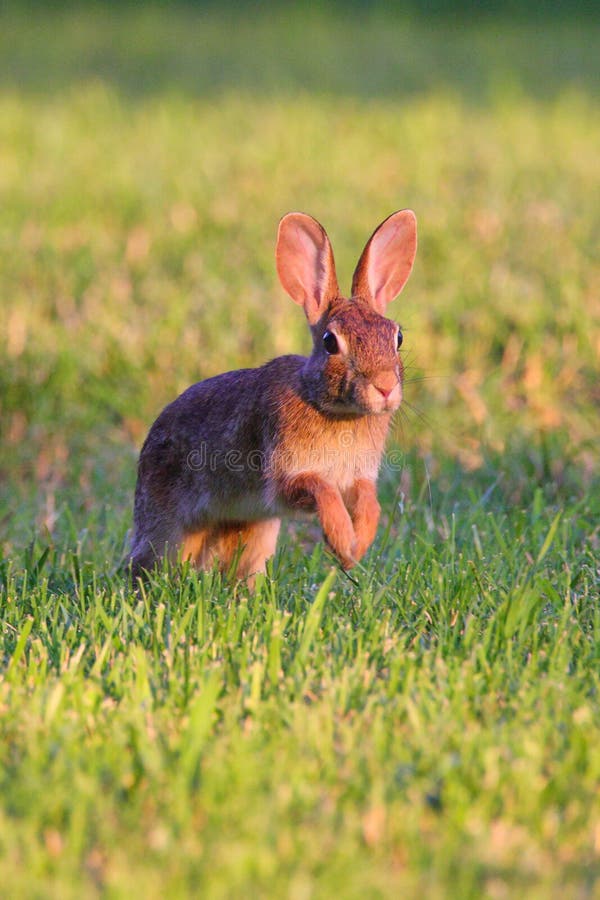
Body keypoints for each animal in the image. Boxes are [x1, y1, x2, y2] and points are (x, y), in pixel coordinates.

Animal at [129, 209, 417, 581]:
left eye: (397, 337)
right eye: (330, 342)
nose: (384, 386)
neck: (330, 406)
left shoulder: (358, 478)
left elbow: (370, 502)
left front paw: (356, 549)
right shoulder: (285, 478)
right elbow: (321, 489)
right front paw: (342, 542)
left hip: (257, 532)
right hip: (168, 529)